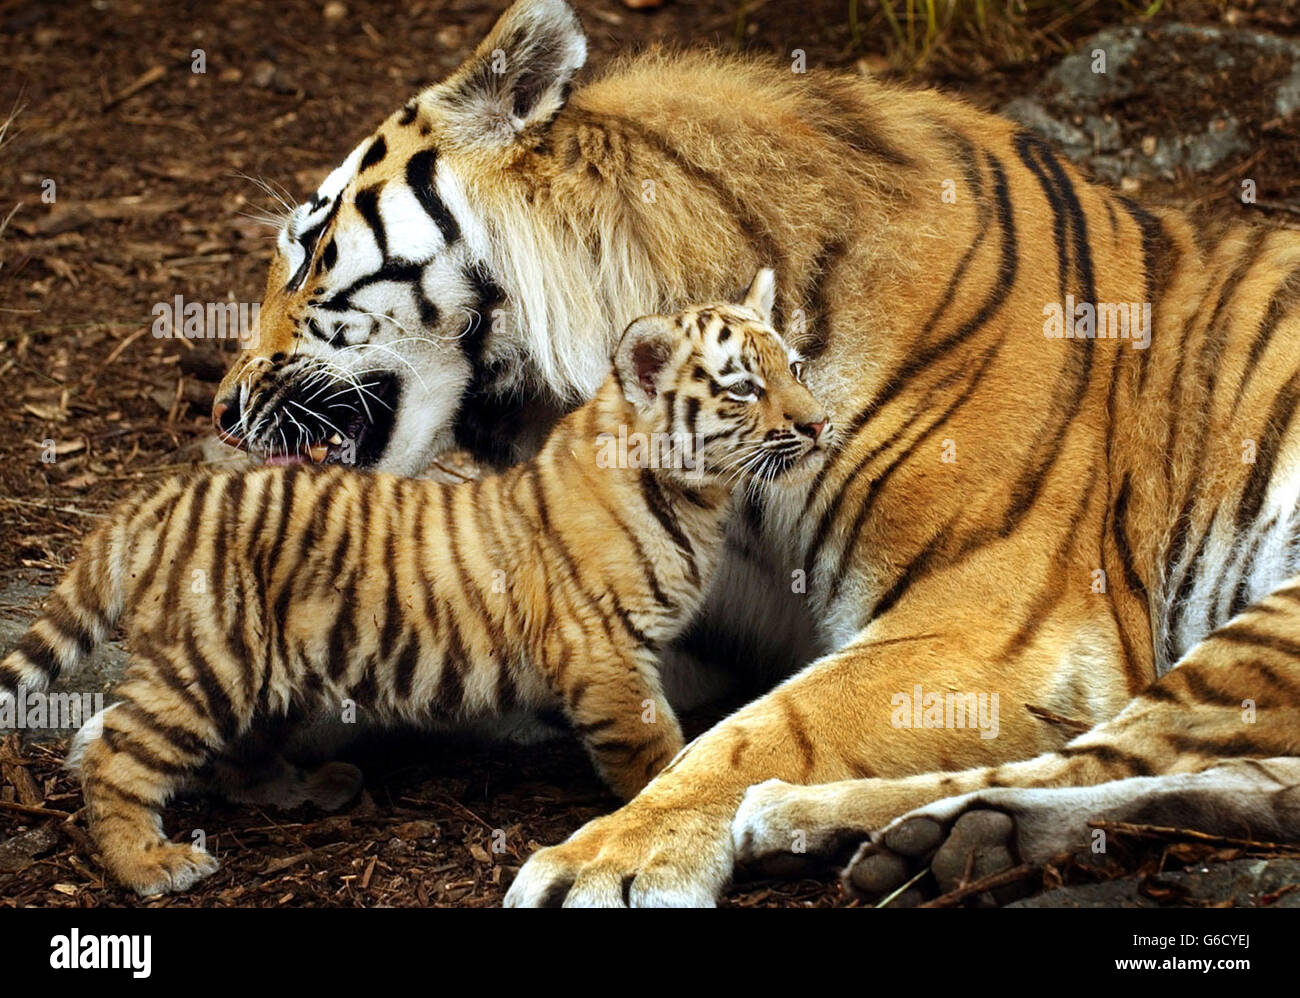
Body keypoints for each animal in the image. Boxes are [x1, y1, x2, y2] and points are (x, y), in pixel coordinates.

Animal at [0, 273, 832, 895]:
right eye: (742, 389)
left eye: (794, 370)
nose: (821, 424)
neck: (695, 495)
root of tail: (154, 499)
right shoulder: (604, 655)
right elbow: (658, 752)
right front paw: (663, 808)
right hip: (206, 660)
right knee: (117, 756)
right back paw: (150, 865)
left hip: (264, 673)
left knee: (235, 759)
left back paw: (313, 789)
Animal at [203, 0, 1300, 907]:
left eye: (306, 255)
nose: (219, 409)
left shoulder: (996, 622)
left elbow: (769, 728)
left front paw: (608, 860)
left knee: (1123, 754)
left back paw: (851, 824)